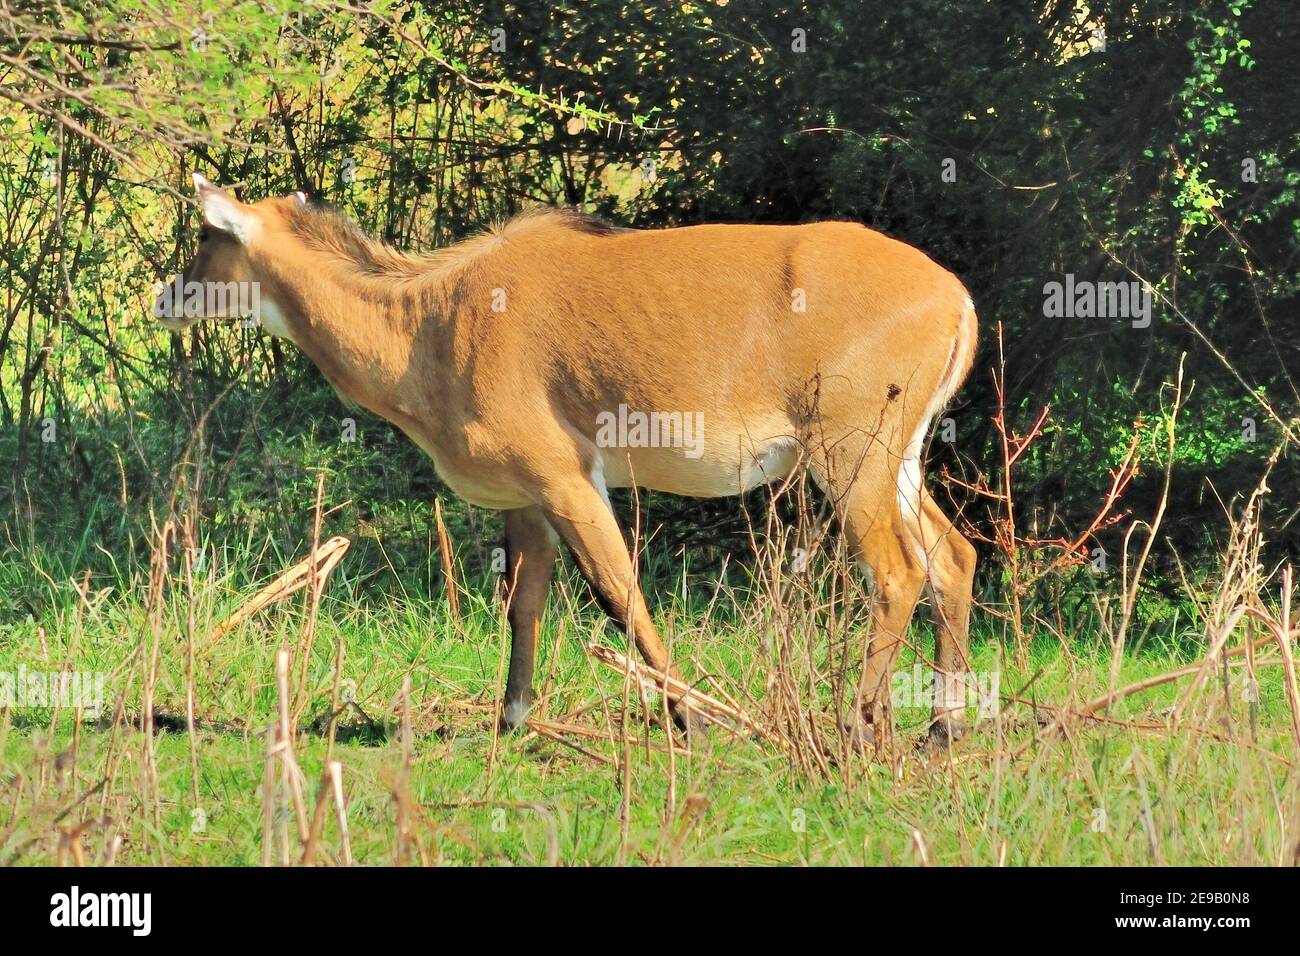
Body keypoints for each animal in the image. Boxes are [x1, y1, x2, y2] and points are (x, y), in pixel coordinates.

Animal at [156, 174, 979, 748]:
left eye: (208, 236)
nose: (166, 298)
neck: (428, 323)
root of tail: (957, 299)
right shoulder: (527, 498)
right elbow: (524, 603)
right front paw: (512, 719)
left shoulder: (567, 479)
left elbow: (620, 592)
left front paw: (691, 719)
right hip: (899, 459)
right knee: (953, 556)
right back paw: (941, 729)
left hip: (849, 452)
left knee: (897, 571)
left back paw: (860, 725)